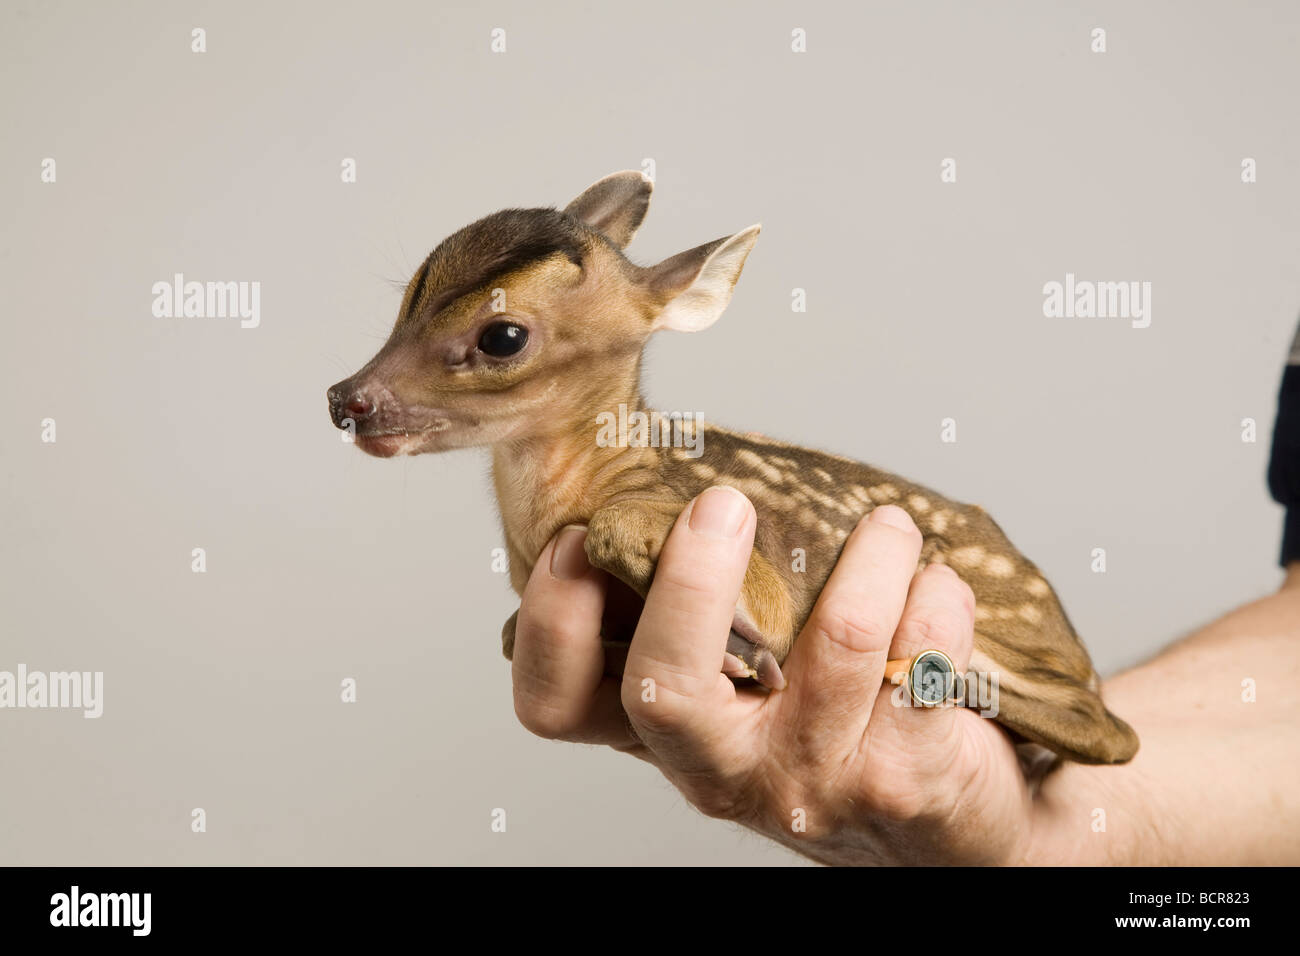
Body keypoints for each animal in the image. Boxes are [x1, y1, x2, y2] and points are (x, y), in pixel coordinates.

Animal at [327, 171, 1139, 766]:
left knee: (1113, 731)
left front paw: (749, 658)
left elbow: (627, 536)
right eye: (408, 298)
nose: (345, 399)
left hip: (1019, 634)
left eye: (502, 336)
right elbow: (506, 633)